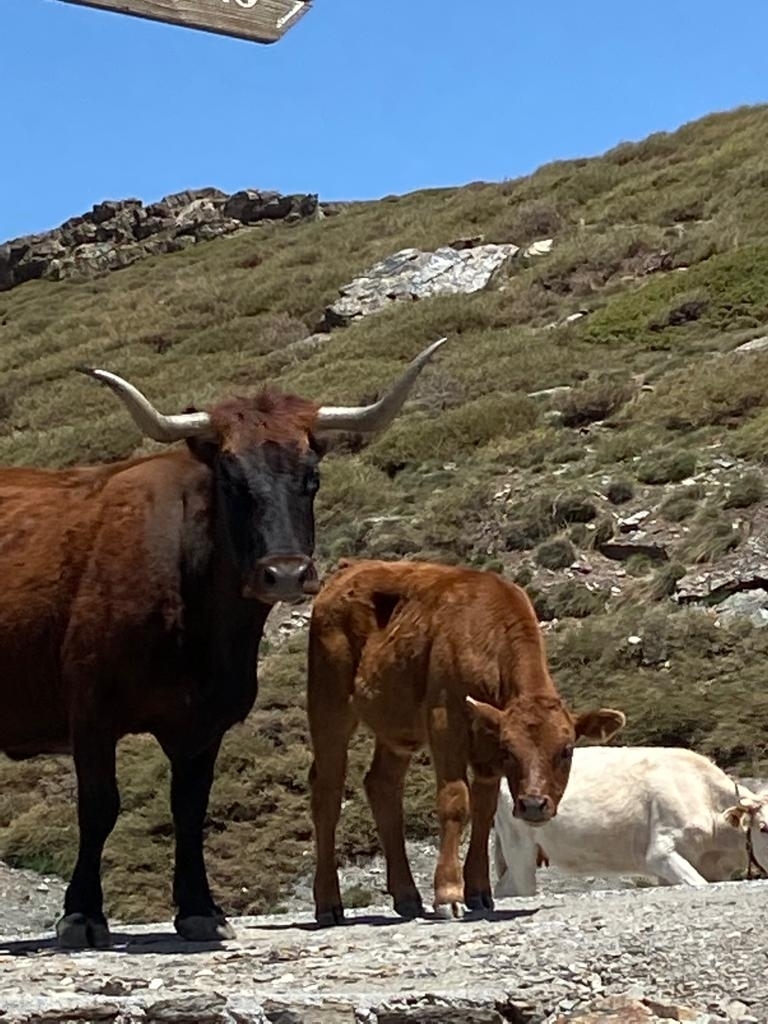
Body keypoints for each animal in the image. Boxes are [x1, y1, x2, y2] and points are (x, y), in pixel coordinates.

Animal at [0, 338, 446, 949]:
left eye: (311, 477)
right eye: (231, 480)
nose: (285, 573)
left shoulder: (203, 723)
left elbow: (190, 809)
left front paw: (199, 909)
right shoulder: (90, 710)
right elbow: (100, 806)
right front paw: (83, 915)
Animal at [307, 558, 625, 924]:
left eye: (566, 750)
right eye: (510, 751)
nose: (533, 804)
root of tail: (350, 568)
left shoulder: (486, 740)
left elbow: (484, 809)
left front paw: (479, 891)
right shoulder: (446, 720)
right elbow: (456, 800)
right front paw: (448, 893)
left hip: (397, 726)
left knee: (382, 786)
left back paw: (406, 895)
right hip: (329, 702)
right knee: (327, 792)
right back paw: (328, 903)